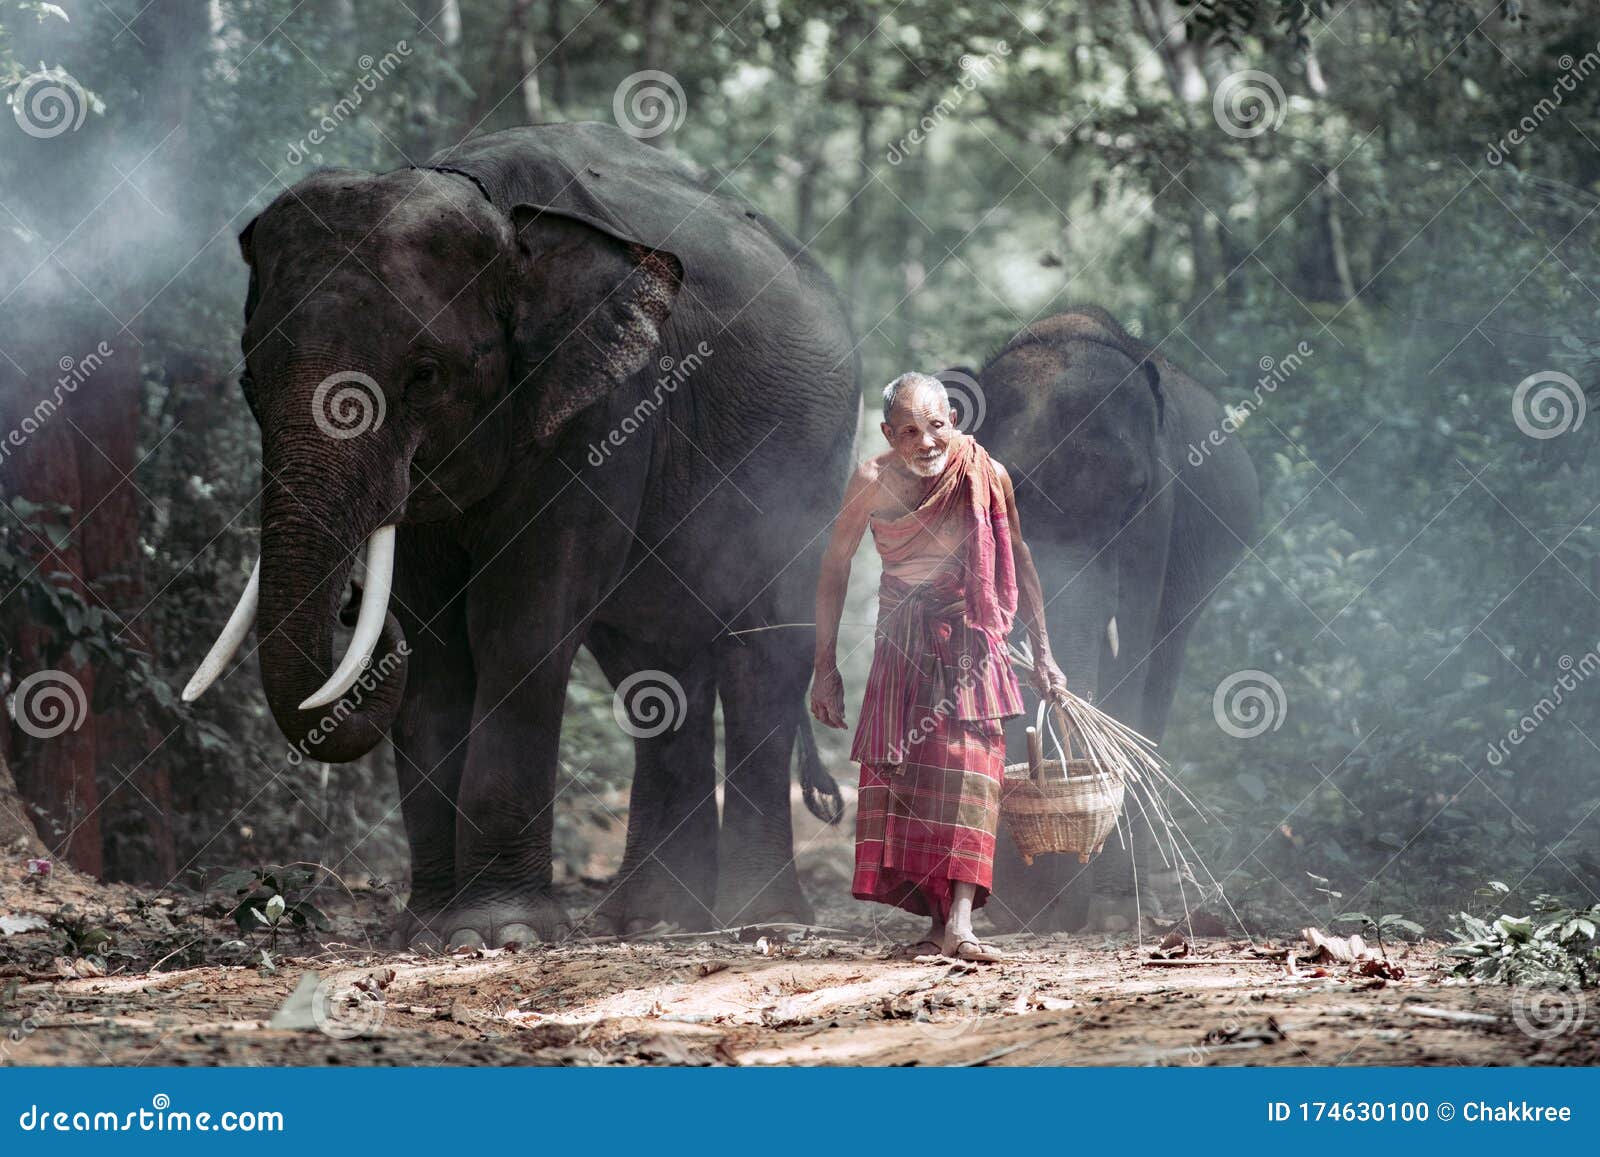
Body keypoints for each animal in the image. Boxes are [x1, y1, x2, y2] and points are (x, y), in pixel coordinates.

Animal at [183, 123, 858, 947]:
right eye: (249, 381)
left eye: (425, 374)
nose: (351, 609)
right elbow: (437, 645)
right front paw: (429, 931)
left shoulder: (605, 405)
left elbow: (523, 622)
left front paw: (500, 932)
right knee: (655, 664)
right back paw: (652, 916)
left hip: (810, 460)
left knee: (762, 651)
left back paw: (759, 915)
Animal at [946, 307, 1260, 933]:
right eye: (1000, 489)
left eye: (1136, 495)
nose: (1046, 910)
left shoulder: (1156, 529)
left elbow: (1128, 665)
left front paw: (1113, 908)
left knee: (1159, 676)